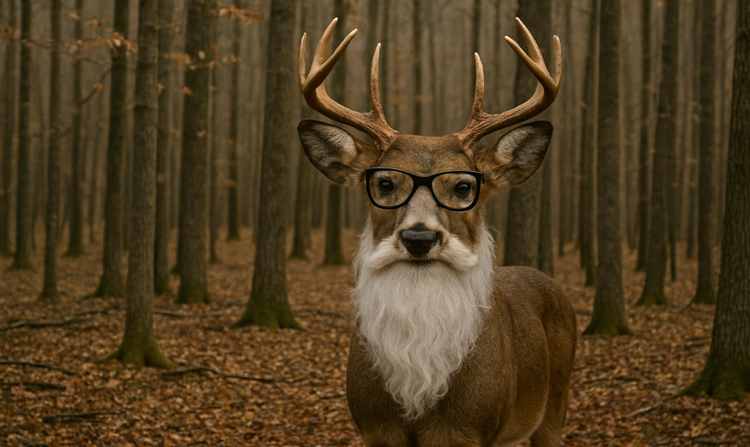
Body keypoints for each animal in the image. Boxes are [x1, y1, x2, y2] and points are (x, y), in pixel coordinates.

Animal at [297, 17, 577, 447]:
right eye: (383, 184)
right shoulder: (376, 426)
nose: (419, 238)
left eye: (463, 187)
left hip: (555, 404)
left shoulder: (468, 427)